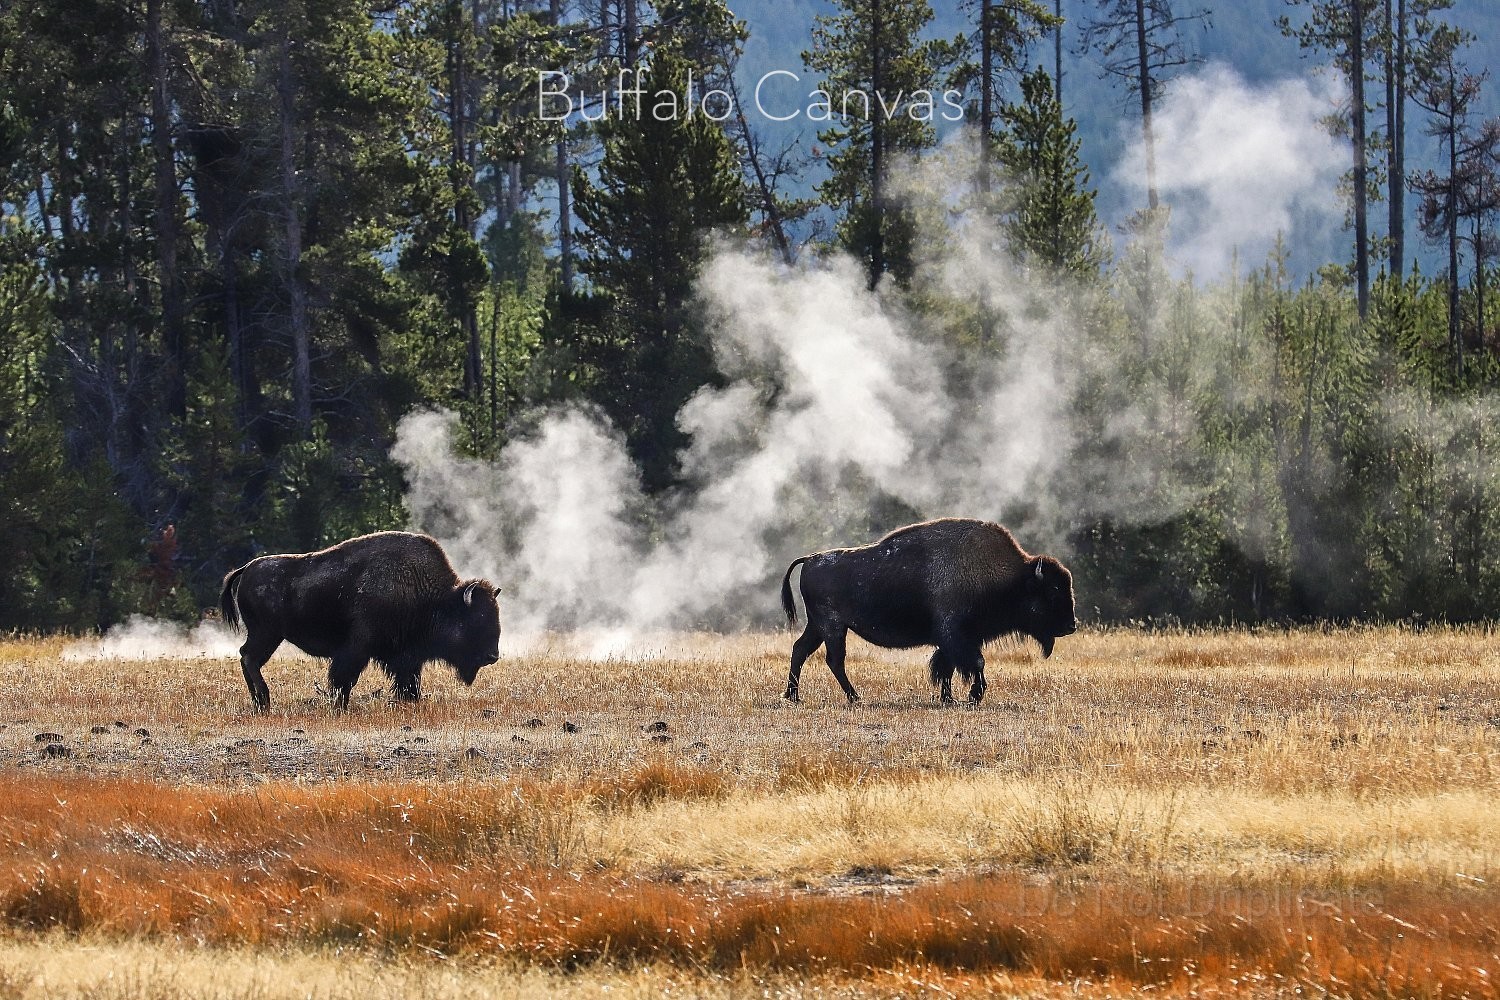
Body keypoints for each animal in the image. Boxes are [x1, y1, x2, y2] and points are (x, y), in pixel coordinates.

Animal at [219, 531, 501, 711]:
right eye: (476, 619)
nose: (493, 656)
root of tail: (246, 569)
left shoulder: (407, 657)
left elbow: (408, 682)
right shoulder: (357, 649)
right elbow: (343, 677)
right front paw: (340, 705)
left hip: (268, 635)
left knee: (247, 657)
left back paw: (260, 702)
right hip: (266, 634)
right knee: (249, 657)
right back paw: (264, 701)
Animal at [779, 518, 1077, 704]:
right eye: (1052, 591)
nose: (1071, 625)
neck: (1010, 578)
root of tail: (811, 559)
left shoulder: (954, 641)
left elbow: (947, 668)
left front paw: (950, 698)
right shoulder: (956, 636)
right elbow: (975, 663)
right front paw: (974, 696)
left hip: (818, 626)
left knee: (800, 650)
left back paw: (794, 696)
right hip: (833, 627)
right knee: (834, 660)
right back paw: (854, 697)